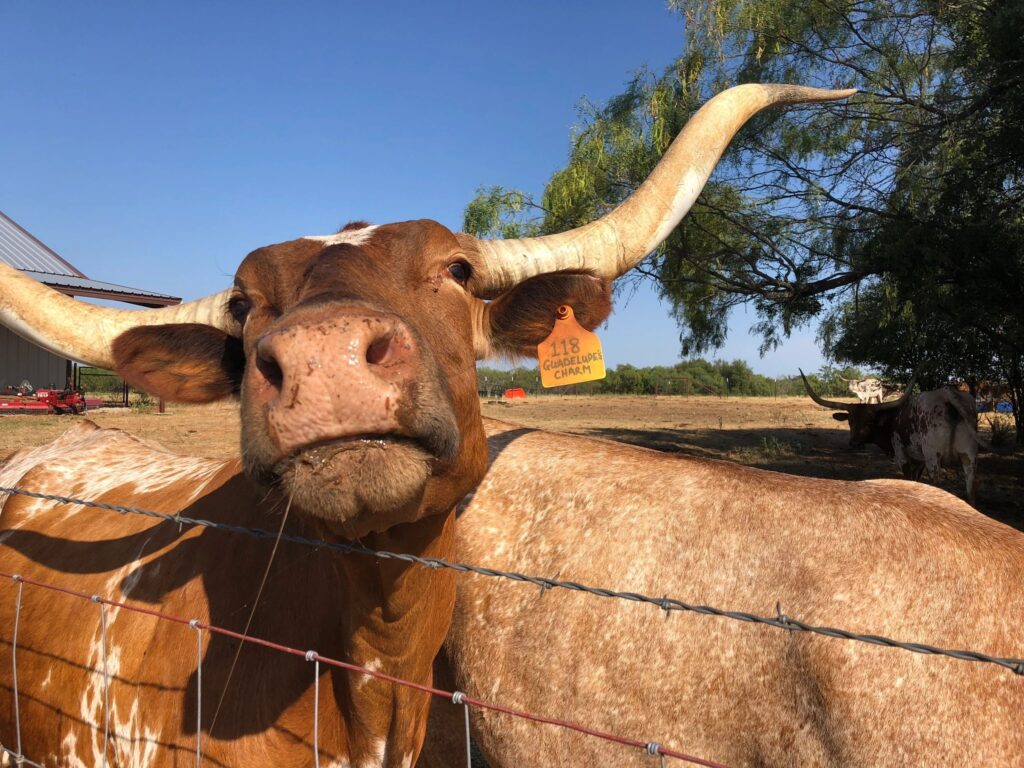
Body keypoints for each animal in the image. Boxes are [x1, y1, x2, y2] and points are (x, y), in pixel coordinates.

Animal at [800, 371, 980, 504]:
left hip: (933, 458)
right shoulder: (919, 459)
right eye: (850, 421)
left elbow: (910, 480)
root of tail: (947, 394)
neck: (891, 418)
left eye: (869, 421)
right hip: (969, 458)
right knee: (971, 492)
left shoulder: (902, 456)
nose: (854, 443)